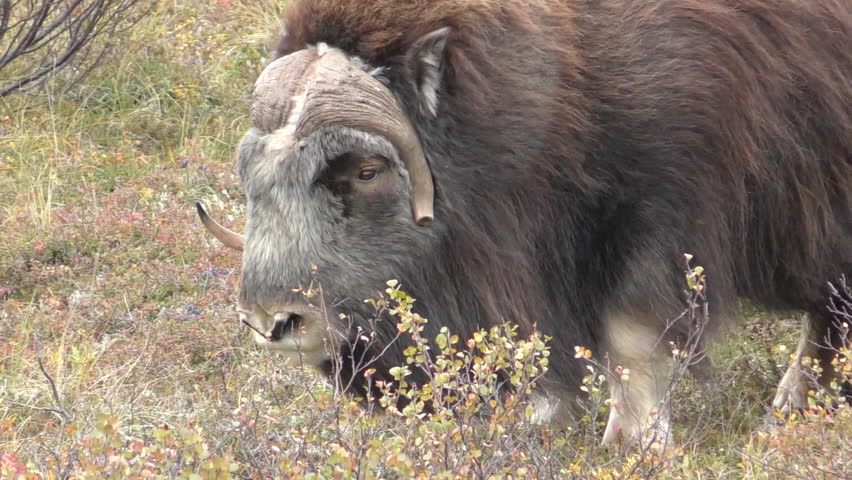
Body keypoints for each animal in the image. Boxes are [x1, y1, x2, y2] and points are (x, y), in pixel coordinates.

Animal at [197, 0, 852, 445]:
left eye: (364, 170)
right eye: (253, 169)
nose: (272, 322)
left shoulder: (663, 216)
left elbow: (631, 336)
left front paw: (632, 443)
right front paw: (544, 423)